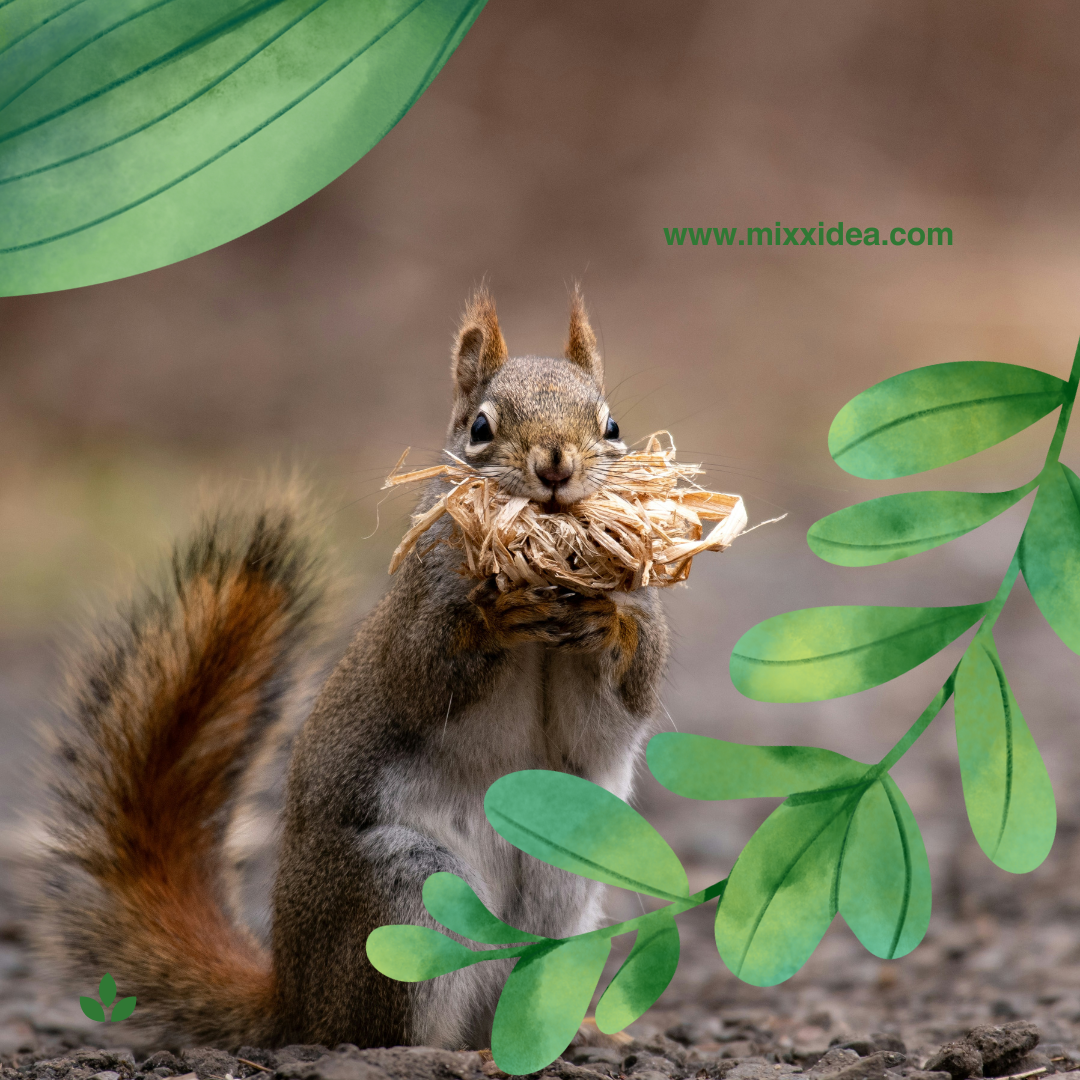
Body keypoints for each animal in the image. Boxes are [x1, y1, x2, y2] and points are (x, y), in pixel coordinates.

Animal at [36, 288, 670, 1052]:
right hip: (402, 891)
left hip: (570, 879)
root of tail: (296, 999)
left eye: (612, 424)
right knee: (385, 1025)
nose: (556, 466)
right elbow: (424, 671)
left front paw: (606, 618)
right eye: (481, 426)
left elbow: (627, 696)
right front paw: (496, 616)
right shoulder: (419, 608)